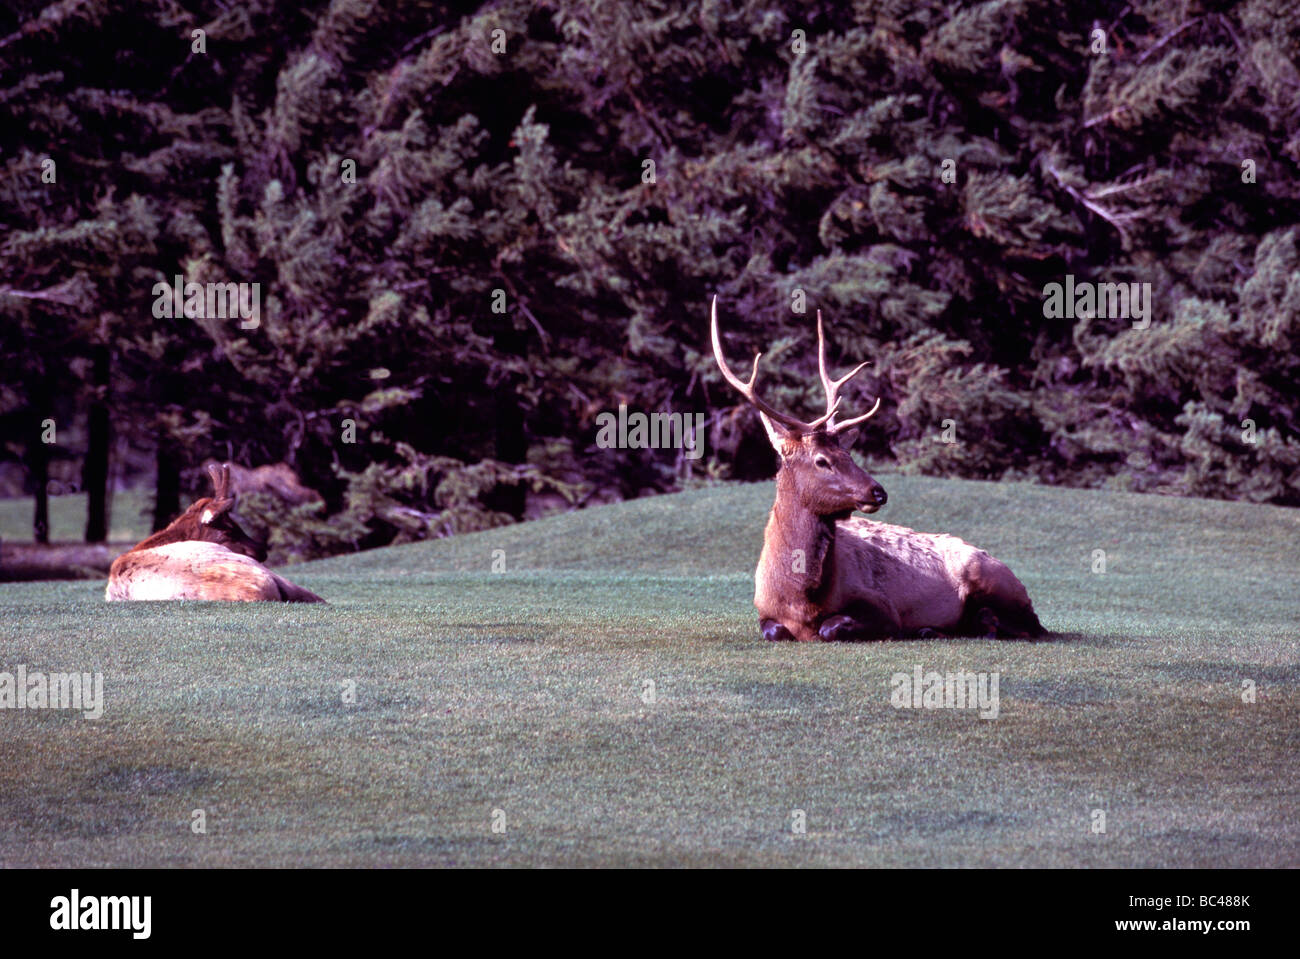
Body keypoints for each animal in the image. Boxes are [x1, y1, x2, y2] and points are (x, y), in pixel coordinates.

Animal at [710, 297, 1043, 642]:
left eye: (849, 453)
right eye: (821, 460)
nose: (878, 491)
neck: (801, 600)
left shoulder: (883, 608)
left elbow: (832, 627)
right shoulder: (764, 611)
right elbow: (774, 631)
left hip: (994, 579)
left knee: (1029, 624)